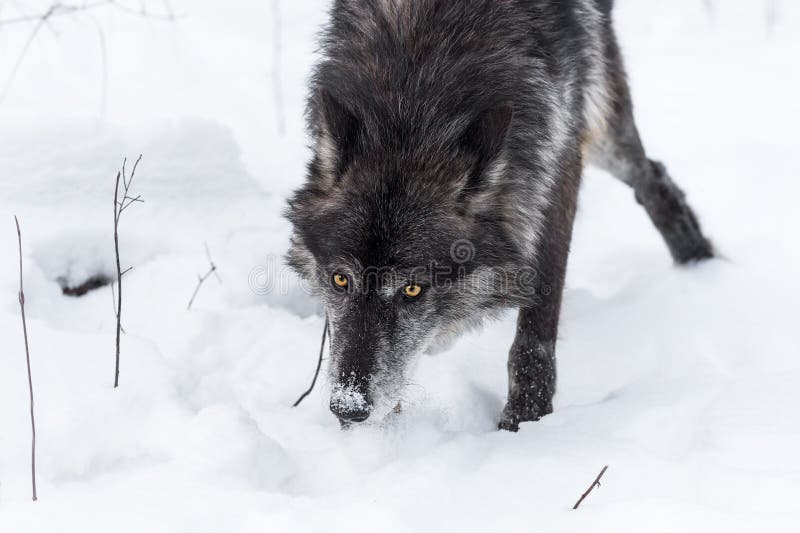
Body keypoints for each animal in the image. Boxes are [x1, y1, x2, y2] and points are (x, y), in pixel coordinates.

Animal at [286, 0, 713, 430]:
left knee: (650, 175)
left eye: (413, 290)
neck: (415, 92)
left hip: (603, 122)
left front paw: (525, 421)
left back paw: (701, 266)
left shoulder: (556, 165)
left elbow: (535, 329)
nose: (349, 408)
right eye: (340, 280)